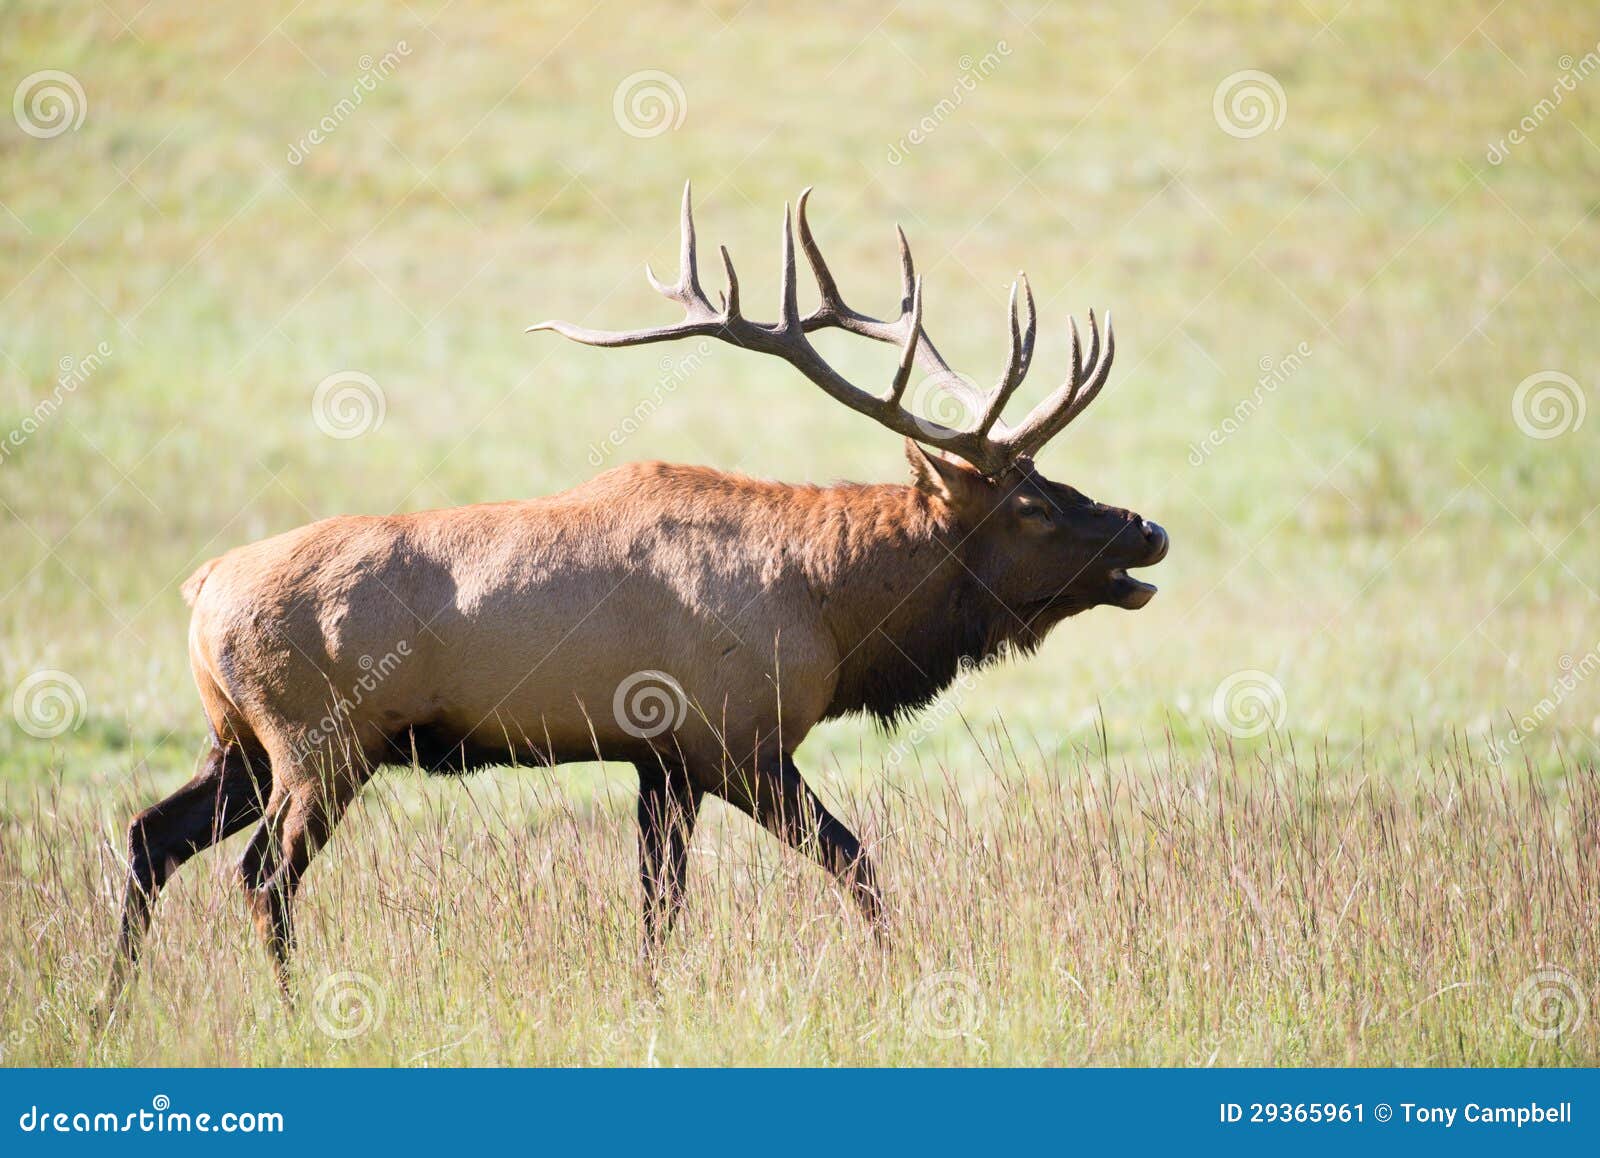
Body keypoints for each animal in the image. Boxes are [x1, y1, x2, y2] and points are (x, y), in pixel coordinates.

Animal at [101, 184, 1167, 1013]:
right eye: (1034, 504)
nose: (1147, 529)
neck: (833, 608)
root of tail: (202, 589)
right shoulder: (733, 741)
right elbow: (855, 862)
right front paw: (902, 977)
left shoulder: (659, 760)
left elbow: (659, 907)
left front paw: (651, 999)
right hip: (319, 741)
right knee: (260, 876)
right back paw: (291, 1010)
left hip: (238, 741)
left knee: (150, 836)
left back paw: (112, 1007)